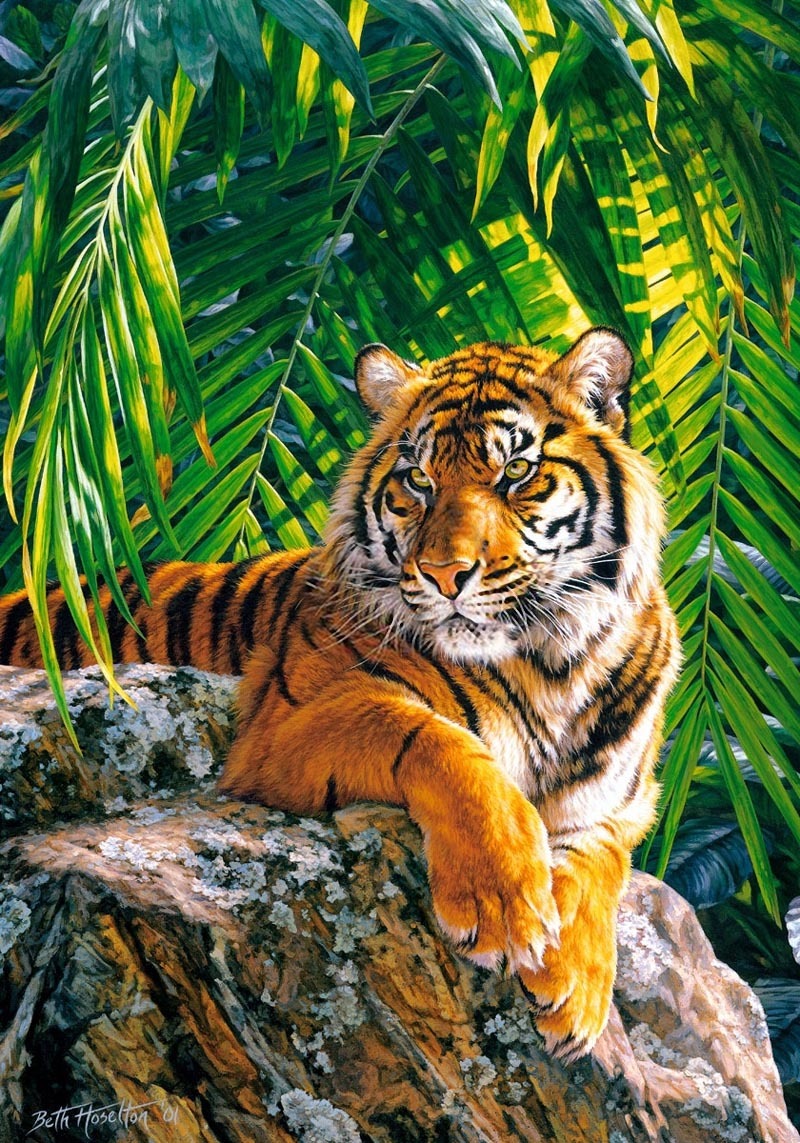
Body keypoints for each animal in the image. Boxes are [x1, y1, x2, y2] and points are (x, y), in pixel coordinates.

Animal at [0, 329, 680, 1061]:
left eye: (517, 472)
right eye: (419, 479)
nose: (444, 574)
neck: (552, 660)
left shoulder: (624, 801)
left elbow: (601, 858)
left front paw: (575, 989)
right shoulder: (284, 724)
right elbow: (443, 745)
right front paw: (502, 903)